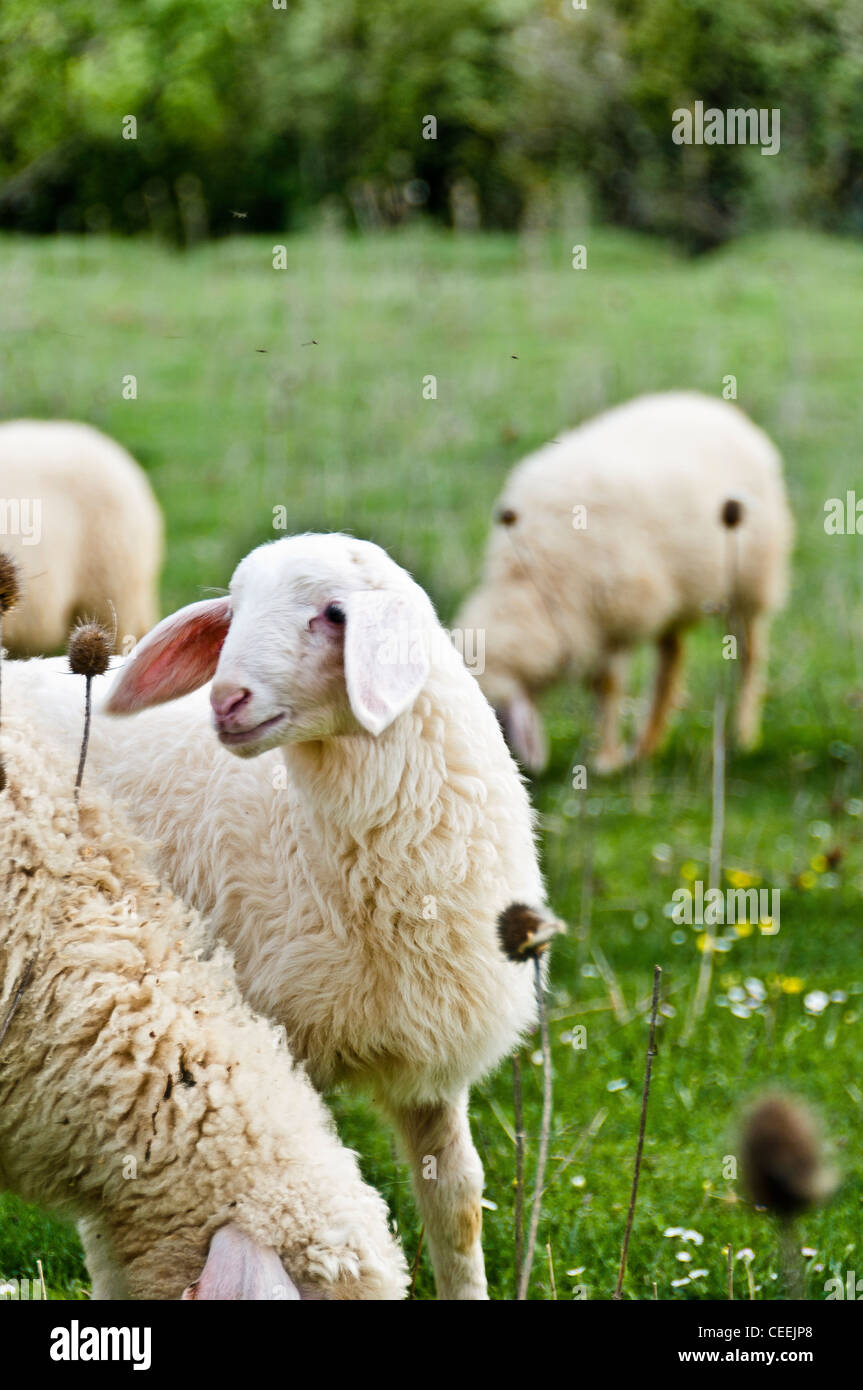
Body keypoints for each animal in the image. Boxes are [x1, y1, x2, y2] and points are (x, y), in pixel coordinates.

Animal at [455, 391, 794, 773]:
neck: (534, 580)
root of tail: (716, 407)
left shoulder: (614, 617)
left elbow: (607, 686)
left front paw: (605, 758)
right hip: (674, 594)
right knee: (671, 658)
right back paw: (647, 744)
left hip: (750, 581)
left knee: (749, 655)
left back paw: (743, 734)